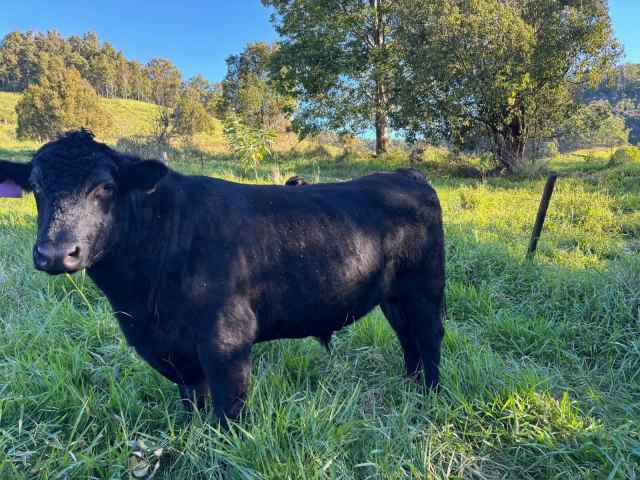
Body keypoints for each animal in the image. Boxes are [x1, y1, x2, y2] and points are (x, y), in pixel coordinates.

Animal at [0, 130, 445, 426]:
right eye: (35, 186)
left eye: (105, 187)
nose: (55, 253)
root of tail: (405, 175)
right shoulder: (172, 348)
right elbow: (192, 404)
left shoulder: (227, 340)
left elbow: (228, 413)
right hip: (392, 296)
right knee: (409, 341)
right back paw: (411, 391)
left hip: (425, 289)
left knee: (429, 339)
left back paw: (429, 397)